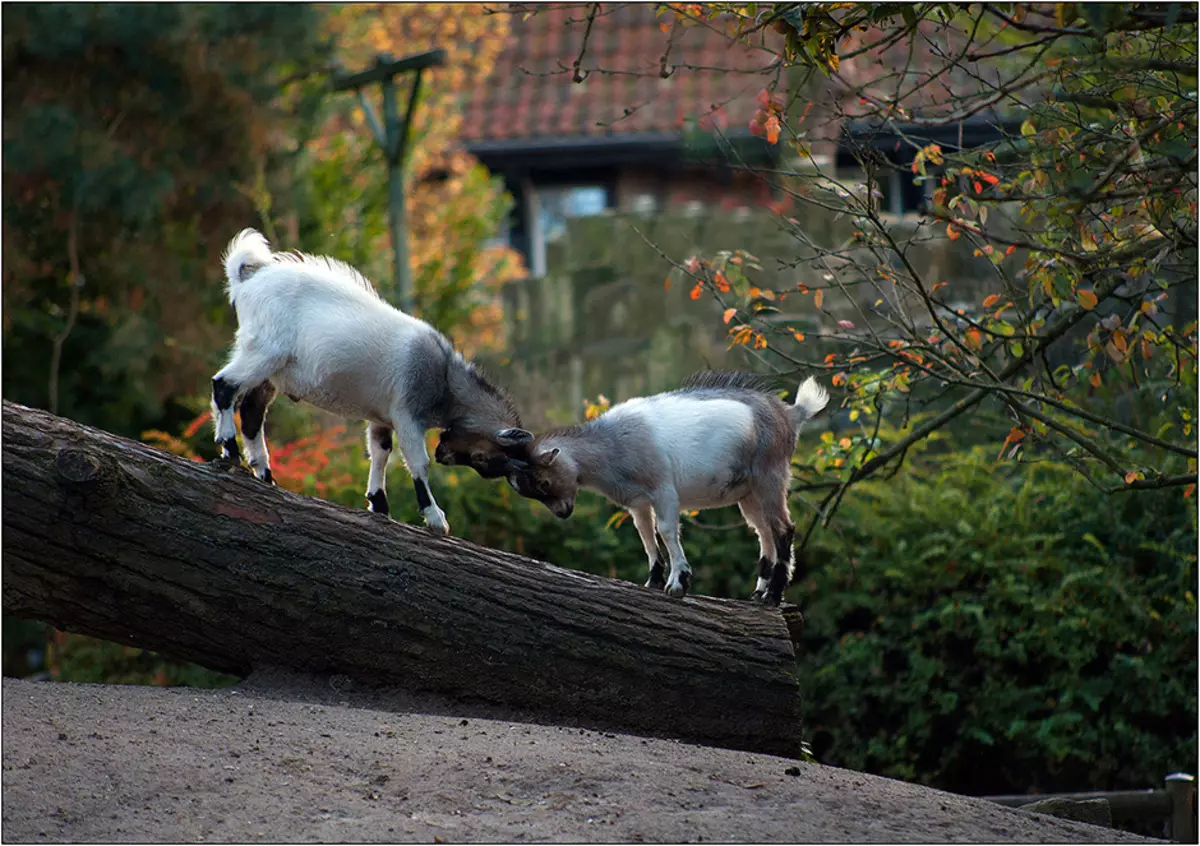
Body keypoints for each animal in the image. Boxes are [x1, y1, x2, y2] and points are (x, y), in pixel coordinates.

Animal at [213, 229, 532, 535]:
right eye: (482, 457)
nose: (443, 455)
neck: (446, 378)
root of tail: (247, 280)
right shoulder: (407, 415)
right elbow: (418, 464)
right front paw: (435, 519)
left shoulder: (383, 417)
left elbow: (380, 452)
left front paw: (379, 506)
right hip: (263, 352)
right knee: (224, 386)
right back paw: (229, 452)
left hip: (269, 371)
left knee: (252, 414)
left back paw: (265, 476)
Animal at [504, 372, 825, 604]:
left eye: (544, 482)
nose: (563, 512)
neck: (612, 445)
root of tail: (790, 413)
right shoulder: (637, 501)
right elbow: (646, 536)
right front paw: (653, 581)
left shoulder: (663, 491)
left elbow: (666, 531)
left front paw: (678, 582)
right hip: (748, 493)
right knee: (762, 531)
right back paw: (759, 592)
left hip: (770, 475)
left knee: (783, 528)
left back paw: (773, 596)